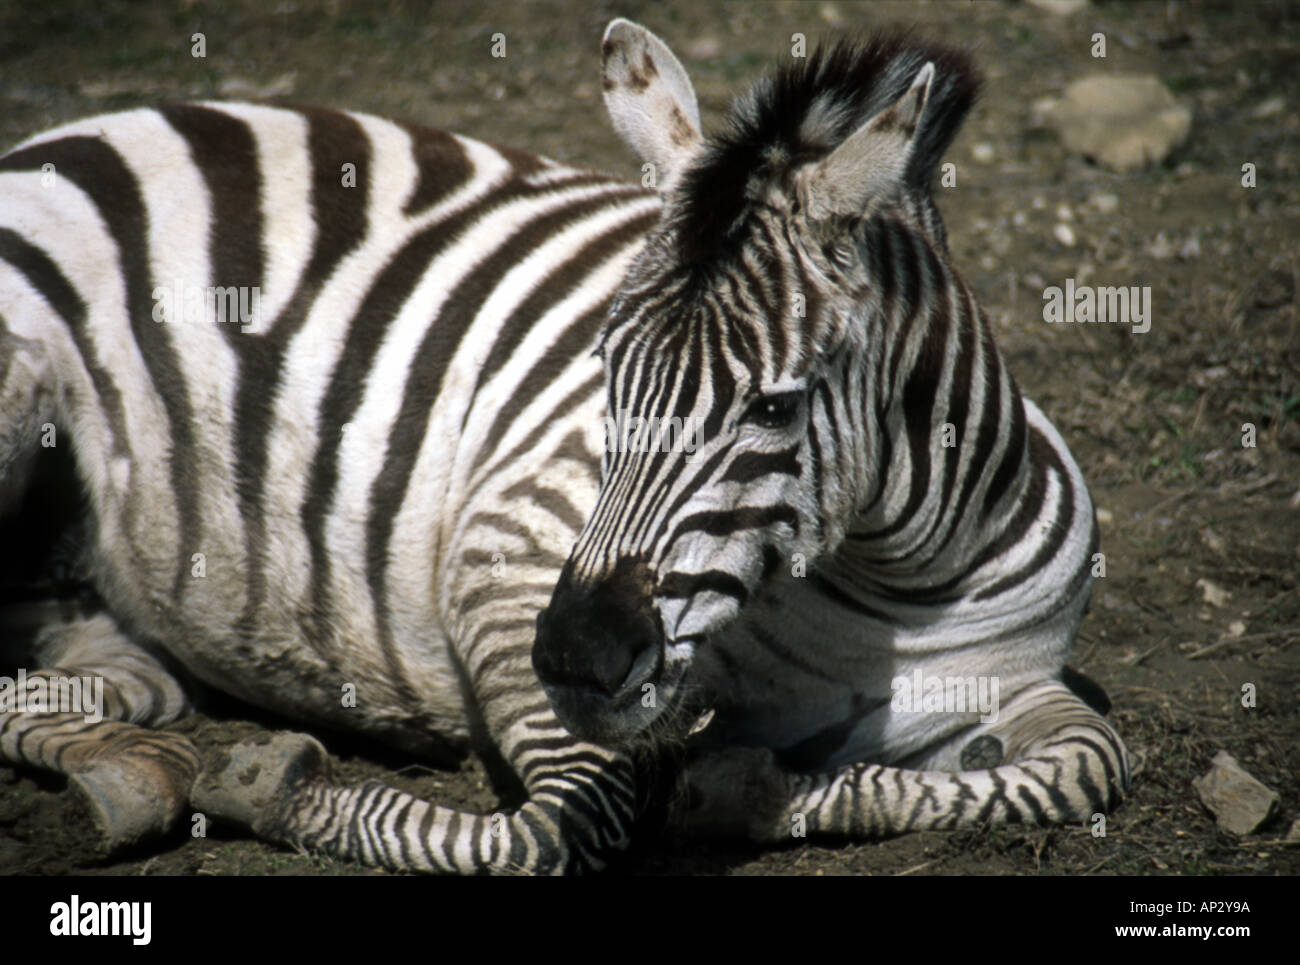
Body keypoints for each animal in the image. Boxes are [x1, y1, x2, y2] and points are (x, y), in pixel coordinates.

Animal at [0, 18, 1130, 874]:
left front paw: (741, 786)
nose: (579, 658)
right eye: (605, 370)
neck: (889, 589)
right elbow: (564, 825)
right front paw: (276, 784)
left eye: (774, 410)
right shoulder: (508, 543)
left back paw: (122, 759)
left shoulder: (1016, 686)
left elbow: (1083, 764)